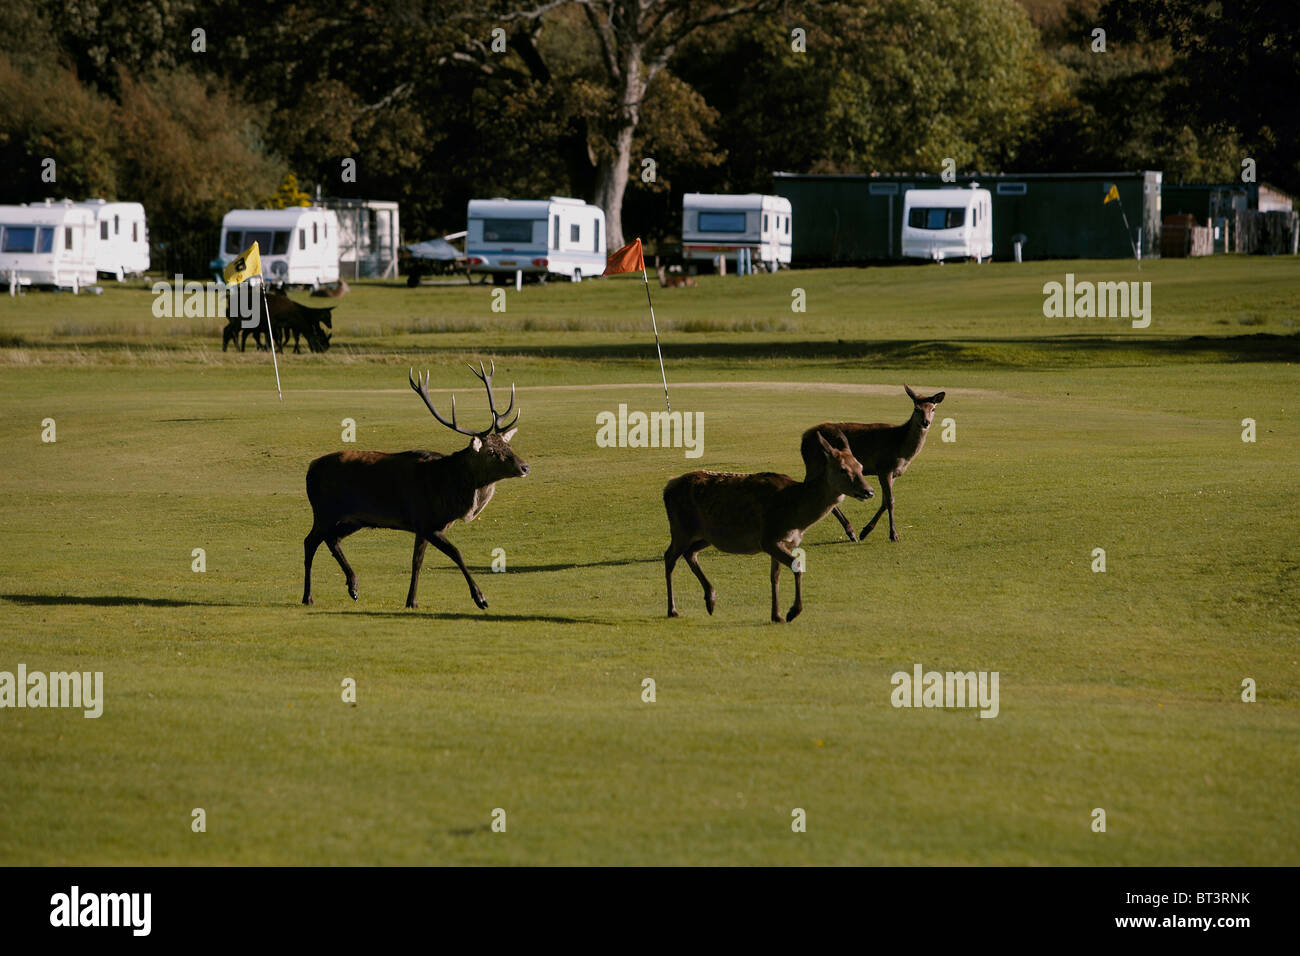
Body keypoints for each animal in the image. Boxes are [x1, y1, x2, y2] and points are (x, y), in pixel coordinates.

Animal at [302, 362, 528, 610]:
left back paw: (353, 587)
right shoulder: (426, 521)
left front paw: (412, 600)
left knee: (332, 539)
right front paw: (480, 598)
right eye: (491, 452)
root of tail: (310, 468)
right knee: (310, 541)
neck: (449, 493)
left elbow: (417, 561)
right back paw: (308, 596)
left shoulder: (423, 527)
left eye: (508, 445)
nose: (525, 466)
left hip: (354, 519)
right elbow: (455, 553)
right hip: (324, 511)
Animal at [663, 429, 873, 623]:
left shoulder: (784, 542)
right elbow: (797, 565)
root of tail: (668, 486)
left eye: (860, 466)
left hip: (706, 535)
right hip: (681, 527)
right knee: (670, 557)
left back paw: (710, 600)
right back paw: (672, 609)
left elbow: (775, 576)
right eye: (843, 469)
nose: (869, 491)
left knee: (689, 553)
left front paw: (776, 615)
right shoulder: (769, 537)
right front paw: (792, 612)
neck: (796, 512)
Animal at [800, 384, 946, 544]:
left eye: (933, 409)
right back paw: (850, 531)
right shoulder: (884, 467)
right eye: (916, 408)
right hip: (815, 464)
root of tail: (803, 438)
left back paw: (852, 532)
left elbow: (884, 501)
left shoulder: (894, 473)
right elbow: (890, 501)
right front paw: (893, 535)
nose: (926, 422)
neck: (901, 449)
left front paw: (865, 532)